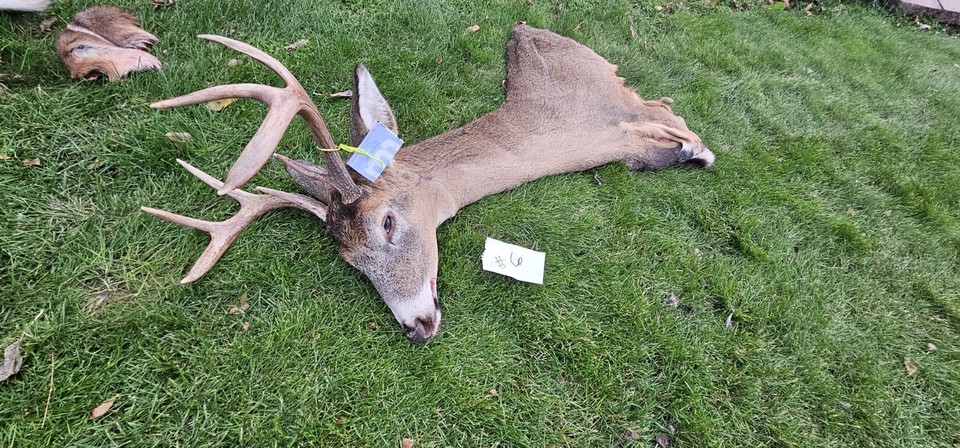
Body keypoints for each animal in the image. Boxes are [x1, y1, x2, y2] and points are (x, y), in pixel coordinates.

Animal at [142, 23, 715, 343]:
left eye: (388, 222)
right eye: (348, 260)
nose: (415, 327)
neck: (585, 125)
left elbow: (674, 122)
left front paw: (694, 151)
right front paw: (685, 151)